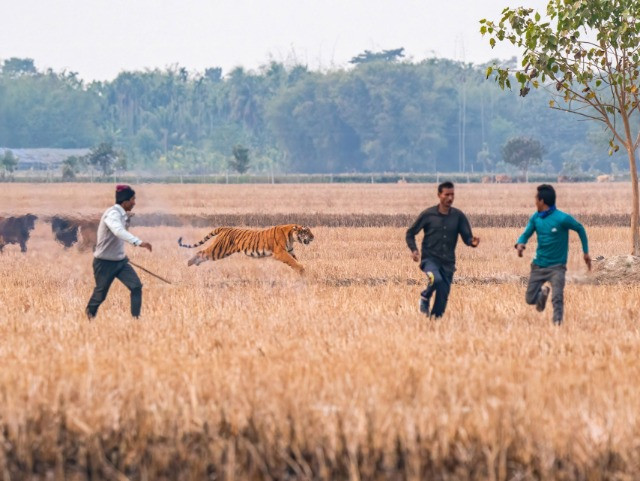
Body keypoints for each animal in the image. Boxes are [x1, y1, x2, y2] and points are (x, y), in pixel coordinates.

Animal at [177, 224, 314, 273]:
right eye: (306, 231)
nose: (313, 237)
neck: (292, 237)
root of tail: (225, 228)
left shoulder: (290, 251)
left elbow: (295, 260)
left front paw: (303, 272)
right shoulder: (280, 252)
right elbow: (292, 261)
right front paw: (301, 270)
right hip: (219, 250)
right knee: (202, 252)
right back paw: (189, 262)